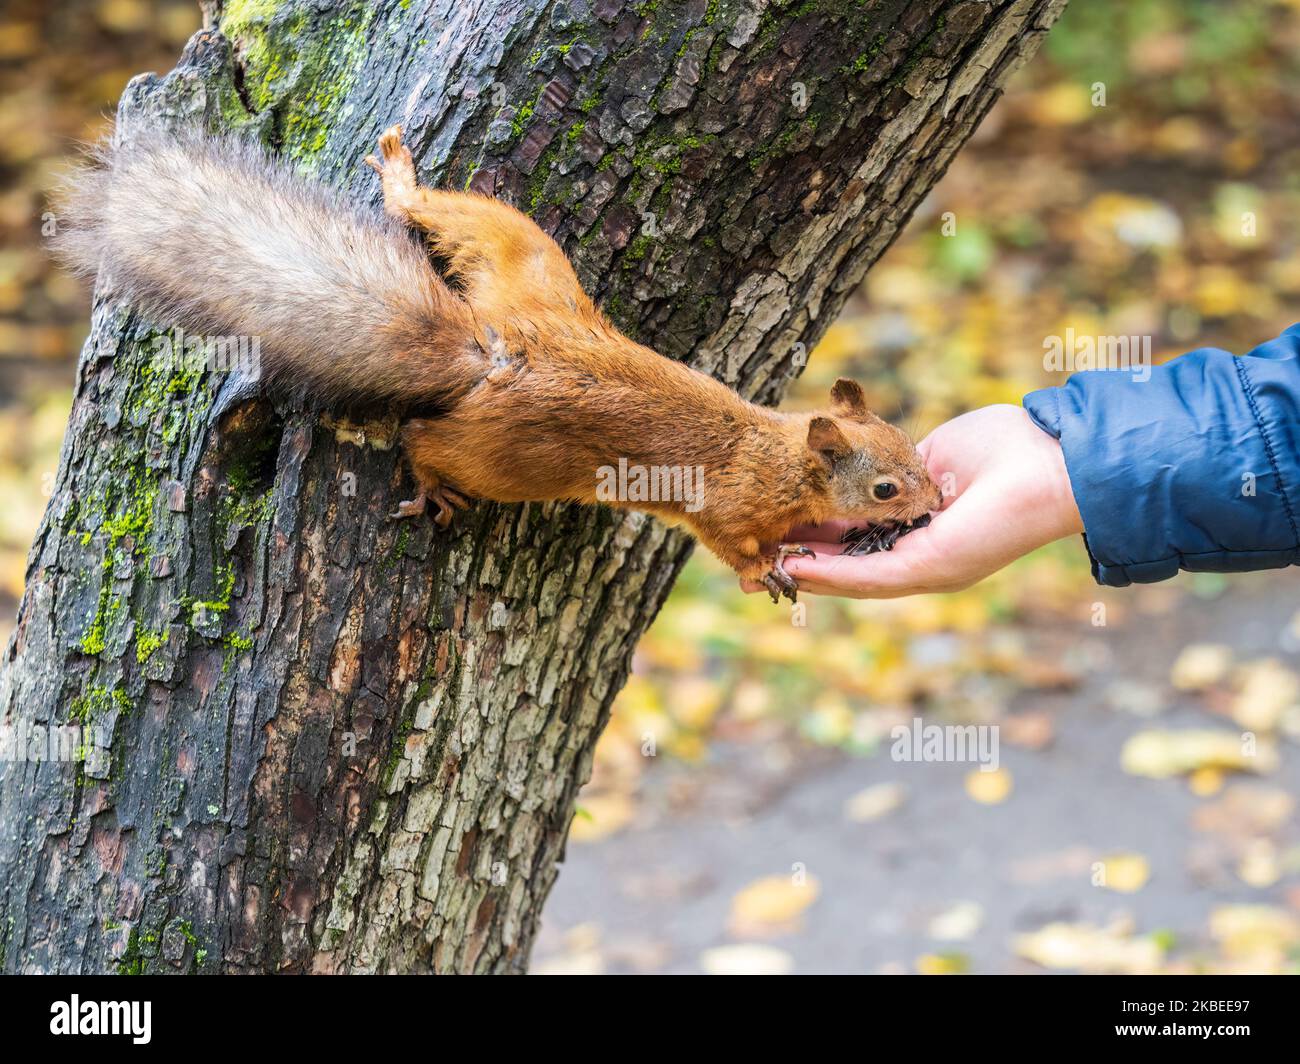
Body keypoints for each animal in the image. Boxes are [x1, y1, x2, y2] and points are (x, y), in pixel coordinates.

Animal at [54, 124, 941, 602]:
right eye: (885, 486)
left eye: (914, 447)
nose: (935, 502)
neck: (784, 455)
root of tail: (495, 357)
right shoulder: (726, 504)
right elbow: (732, 544)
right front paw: (772, 573)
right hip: (518, 458)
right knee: (426, 440)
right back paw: (431, 483)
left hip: (523, 256)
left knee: (438, 215)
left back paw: (403, 182)